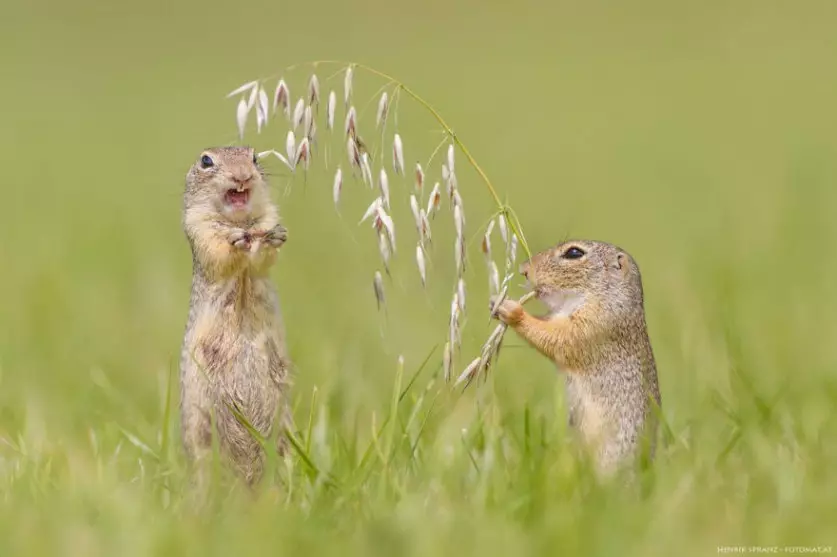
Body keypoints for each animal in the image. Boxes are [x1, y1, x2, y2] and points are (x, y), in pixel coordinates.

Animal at [180, 146, 290, 484]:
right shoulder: (199, 227)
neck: (242, 222)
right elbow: (219, 250)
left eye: (254, 157)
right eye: (206, 161)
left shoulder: (267, 217)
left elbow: (264, 257)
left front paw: (273, 237)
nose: (242, 176)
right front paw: (237, 241)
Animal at [490, 238, 660, 474]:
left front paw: (512, 309)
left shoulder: (593, 325)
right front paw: (496, 301)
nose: (524, 270)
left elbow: (557, 337)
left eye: (573, 253)